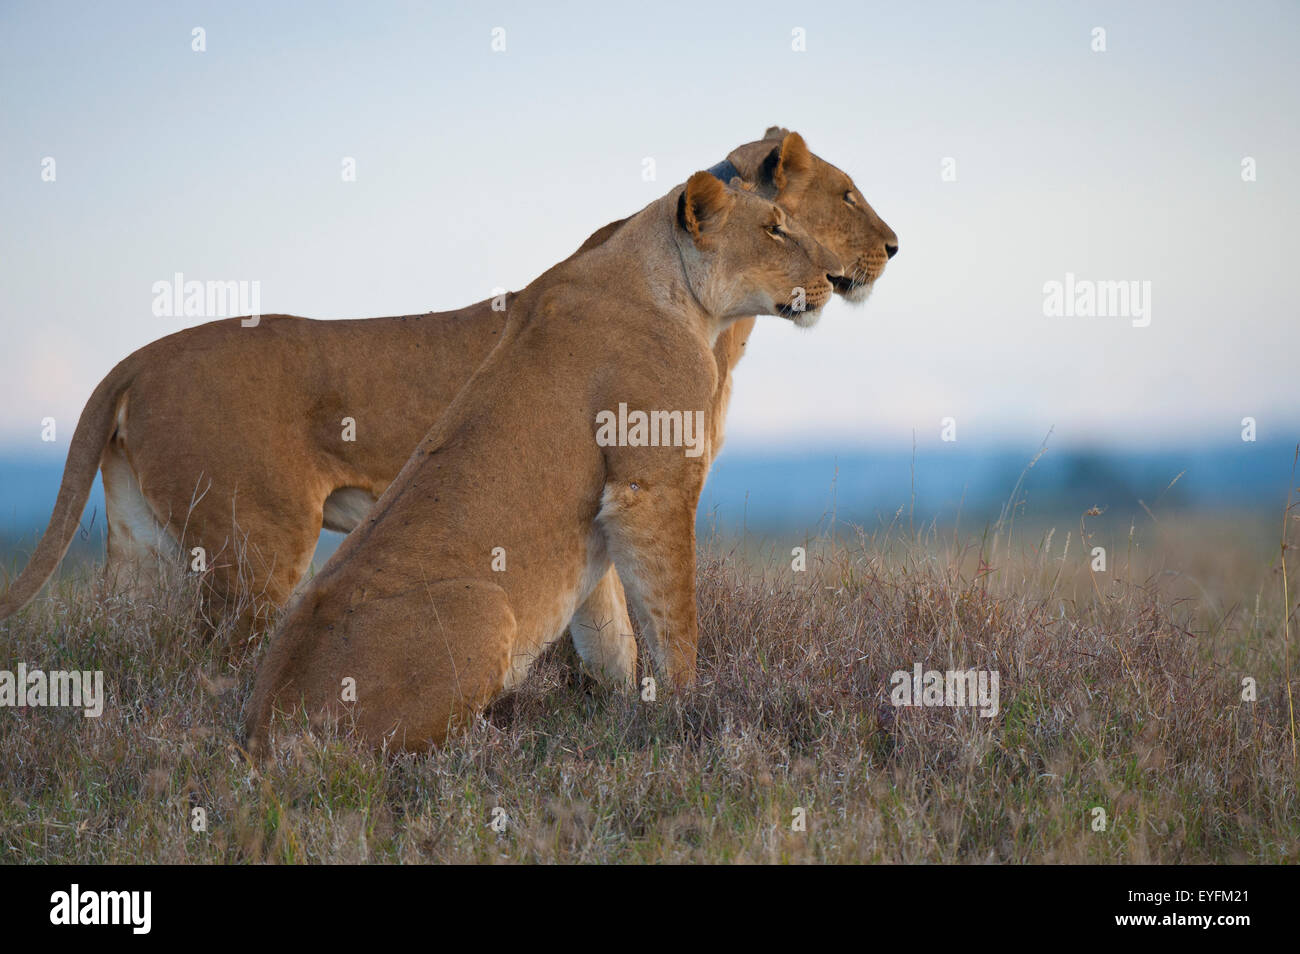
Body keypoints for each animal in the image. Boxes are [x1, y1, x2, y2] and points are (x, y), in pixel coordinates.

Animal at [0, 129, 897, 683]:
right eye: (848, 195)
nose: (895, 247)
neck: (713, 313)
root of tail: (133, 359)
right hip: (257, 545)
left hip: (141, 544)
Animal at [244, 170, 845, 753]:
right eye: (773, 229)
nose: (836, 277)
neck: (674, 288)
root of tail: (266, 724)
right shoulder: (650, 485)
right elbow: (673, 616)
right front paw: (686, 706)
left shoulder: (599, 521)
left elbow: (611, 634)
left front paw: (618, 713)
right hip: (485, 606)